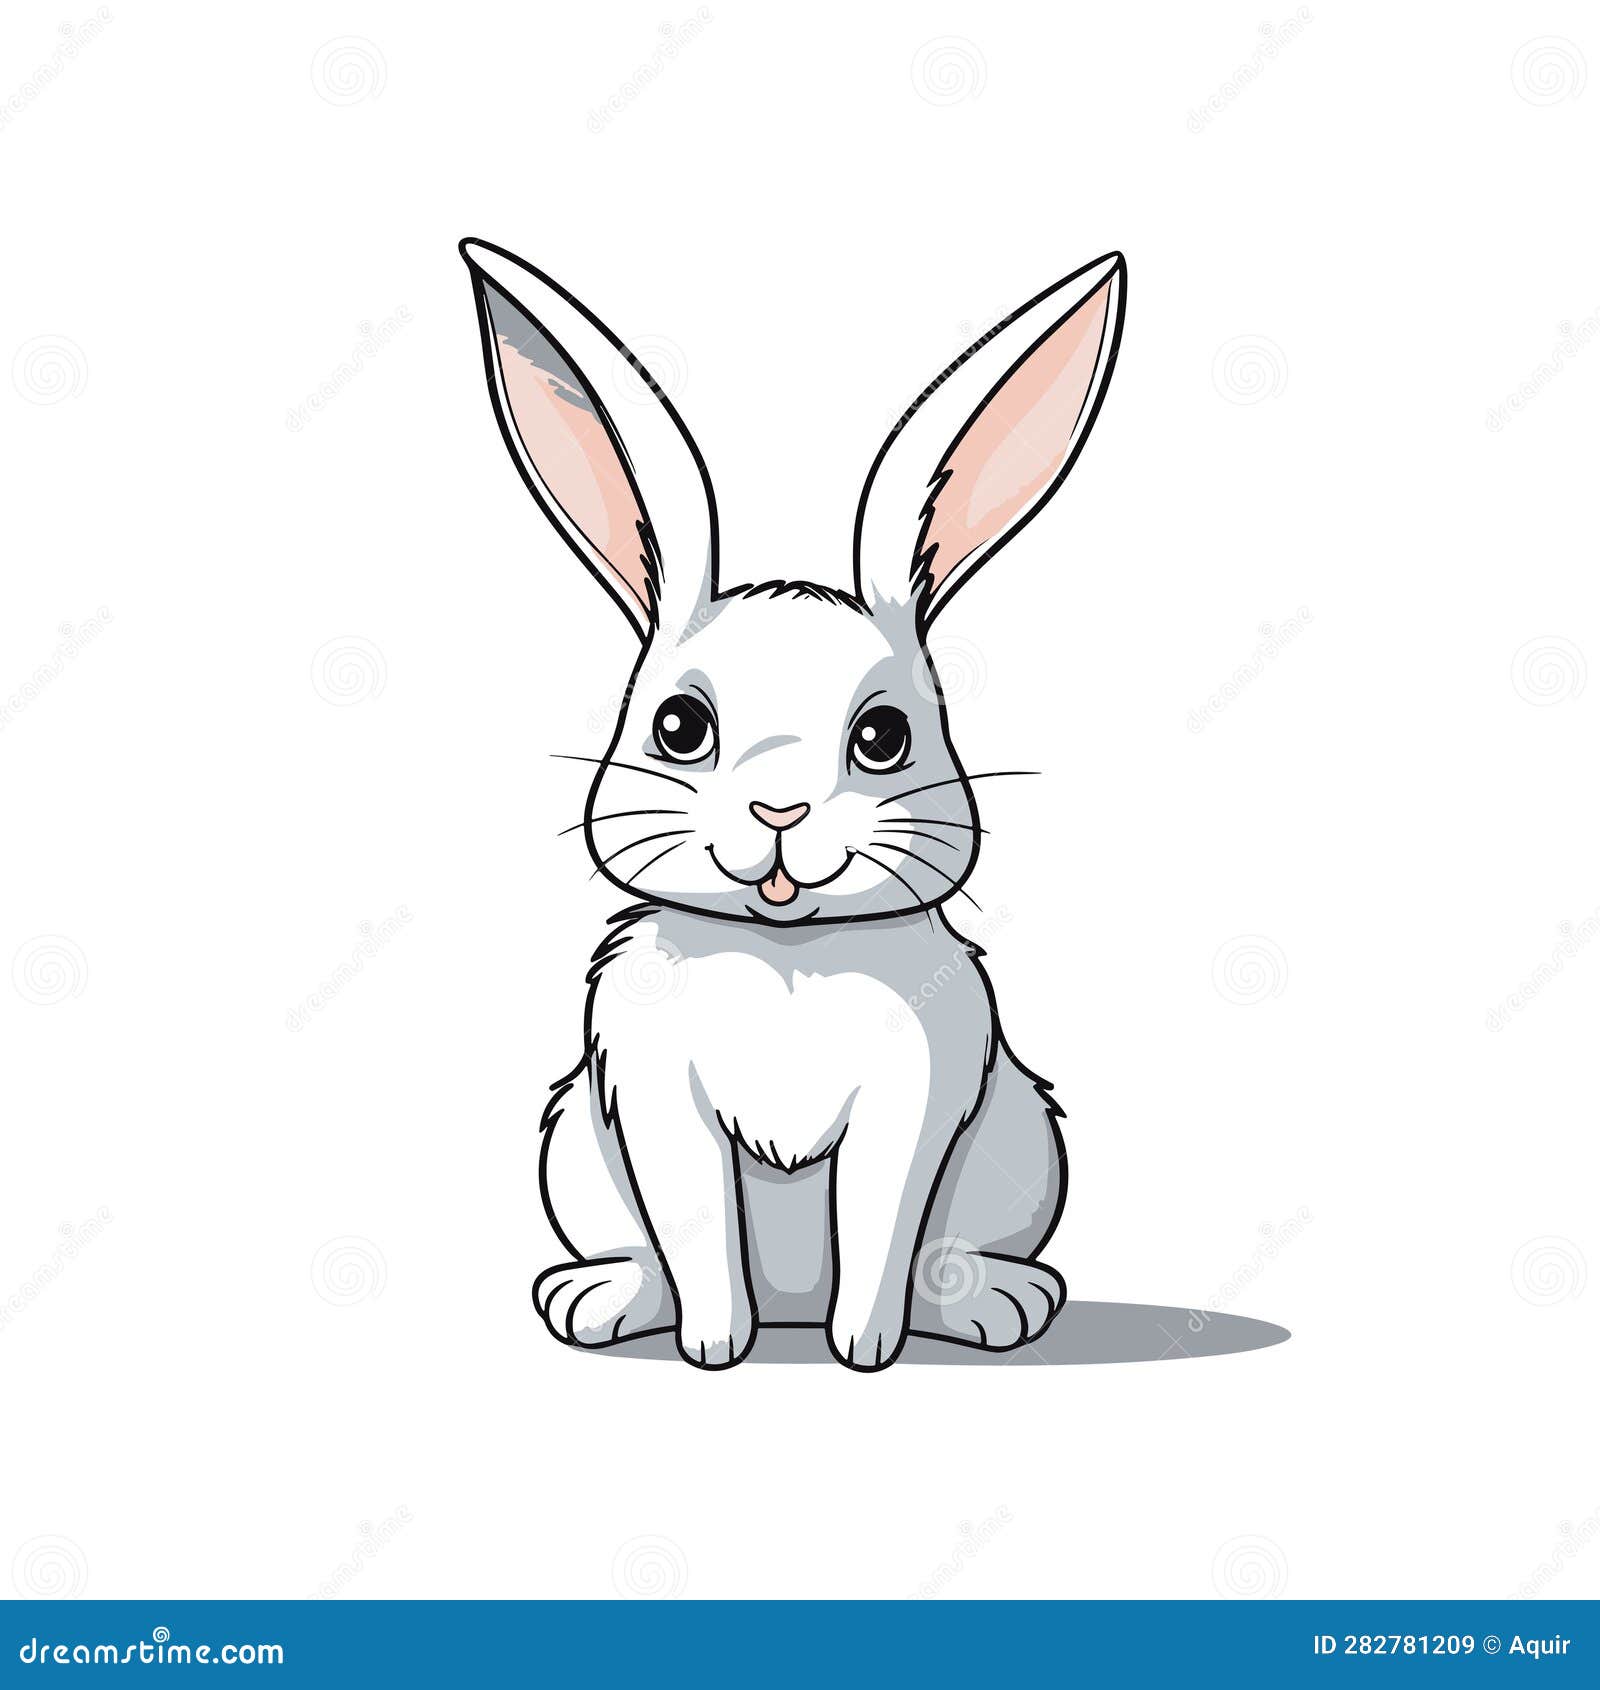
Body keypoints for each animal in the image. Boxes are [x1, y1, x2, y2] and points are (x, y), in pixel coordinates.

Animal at [461, 237, 1125, 1370]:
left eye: (884, 738)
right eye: (680, 726)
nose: (779, 814)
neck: (785, 955)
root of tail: (791, 1311)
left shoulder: (915, 1102)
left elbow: (879, 1222)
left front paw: (864, 1349)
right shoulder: (651, 1098)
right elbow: (698, 1232)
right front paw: (713, 1348)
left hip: (1024, 1142)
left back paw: (990, 1305)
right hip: (571, 1147)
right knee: (641, 1253)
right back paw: (603, 1301)